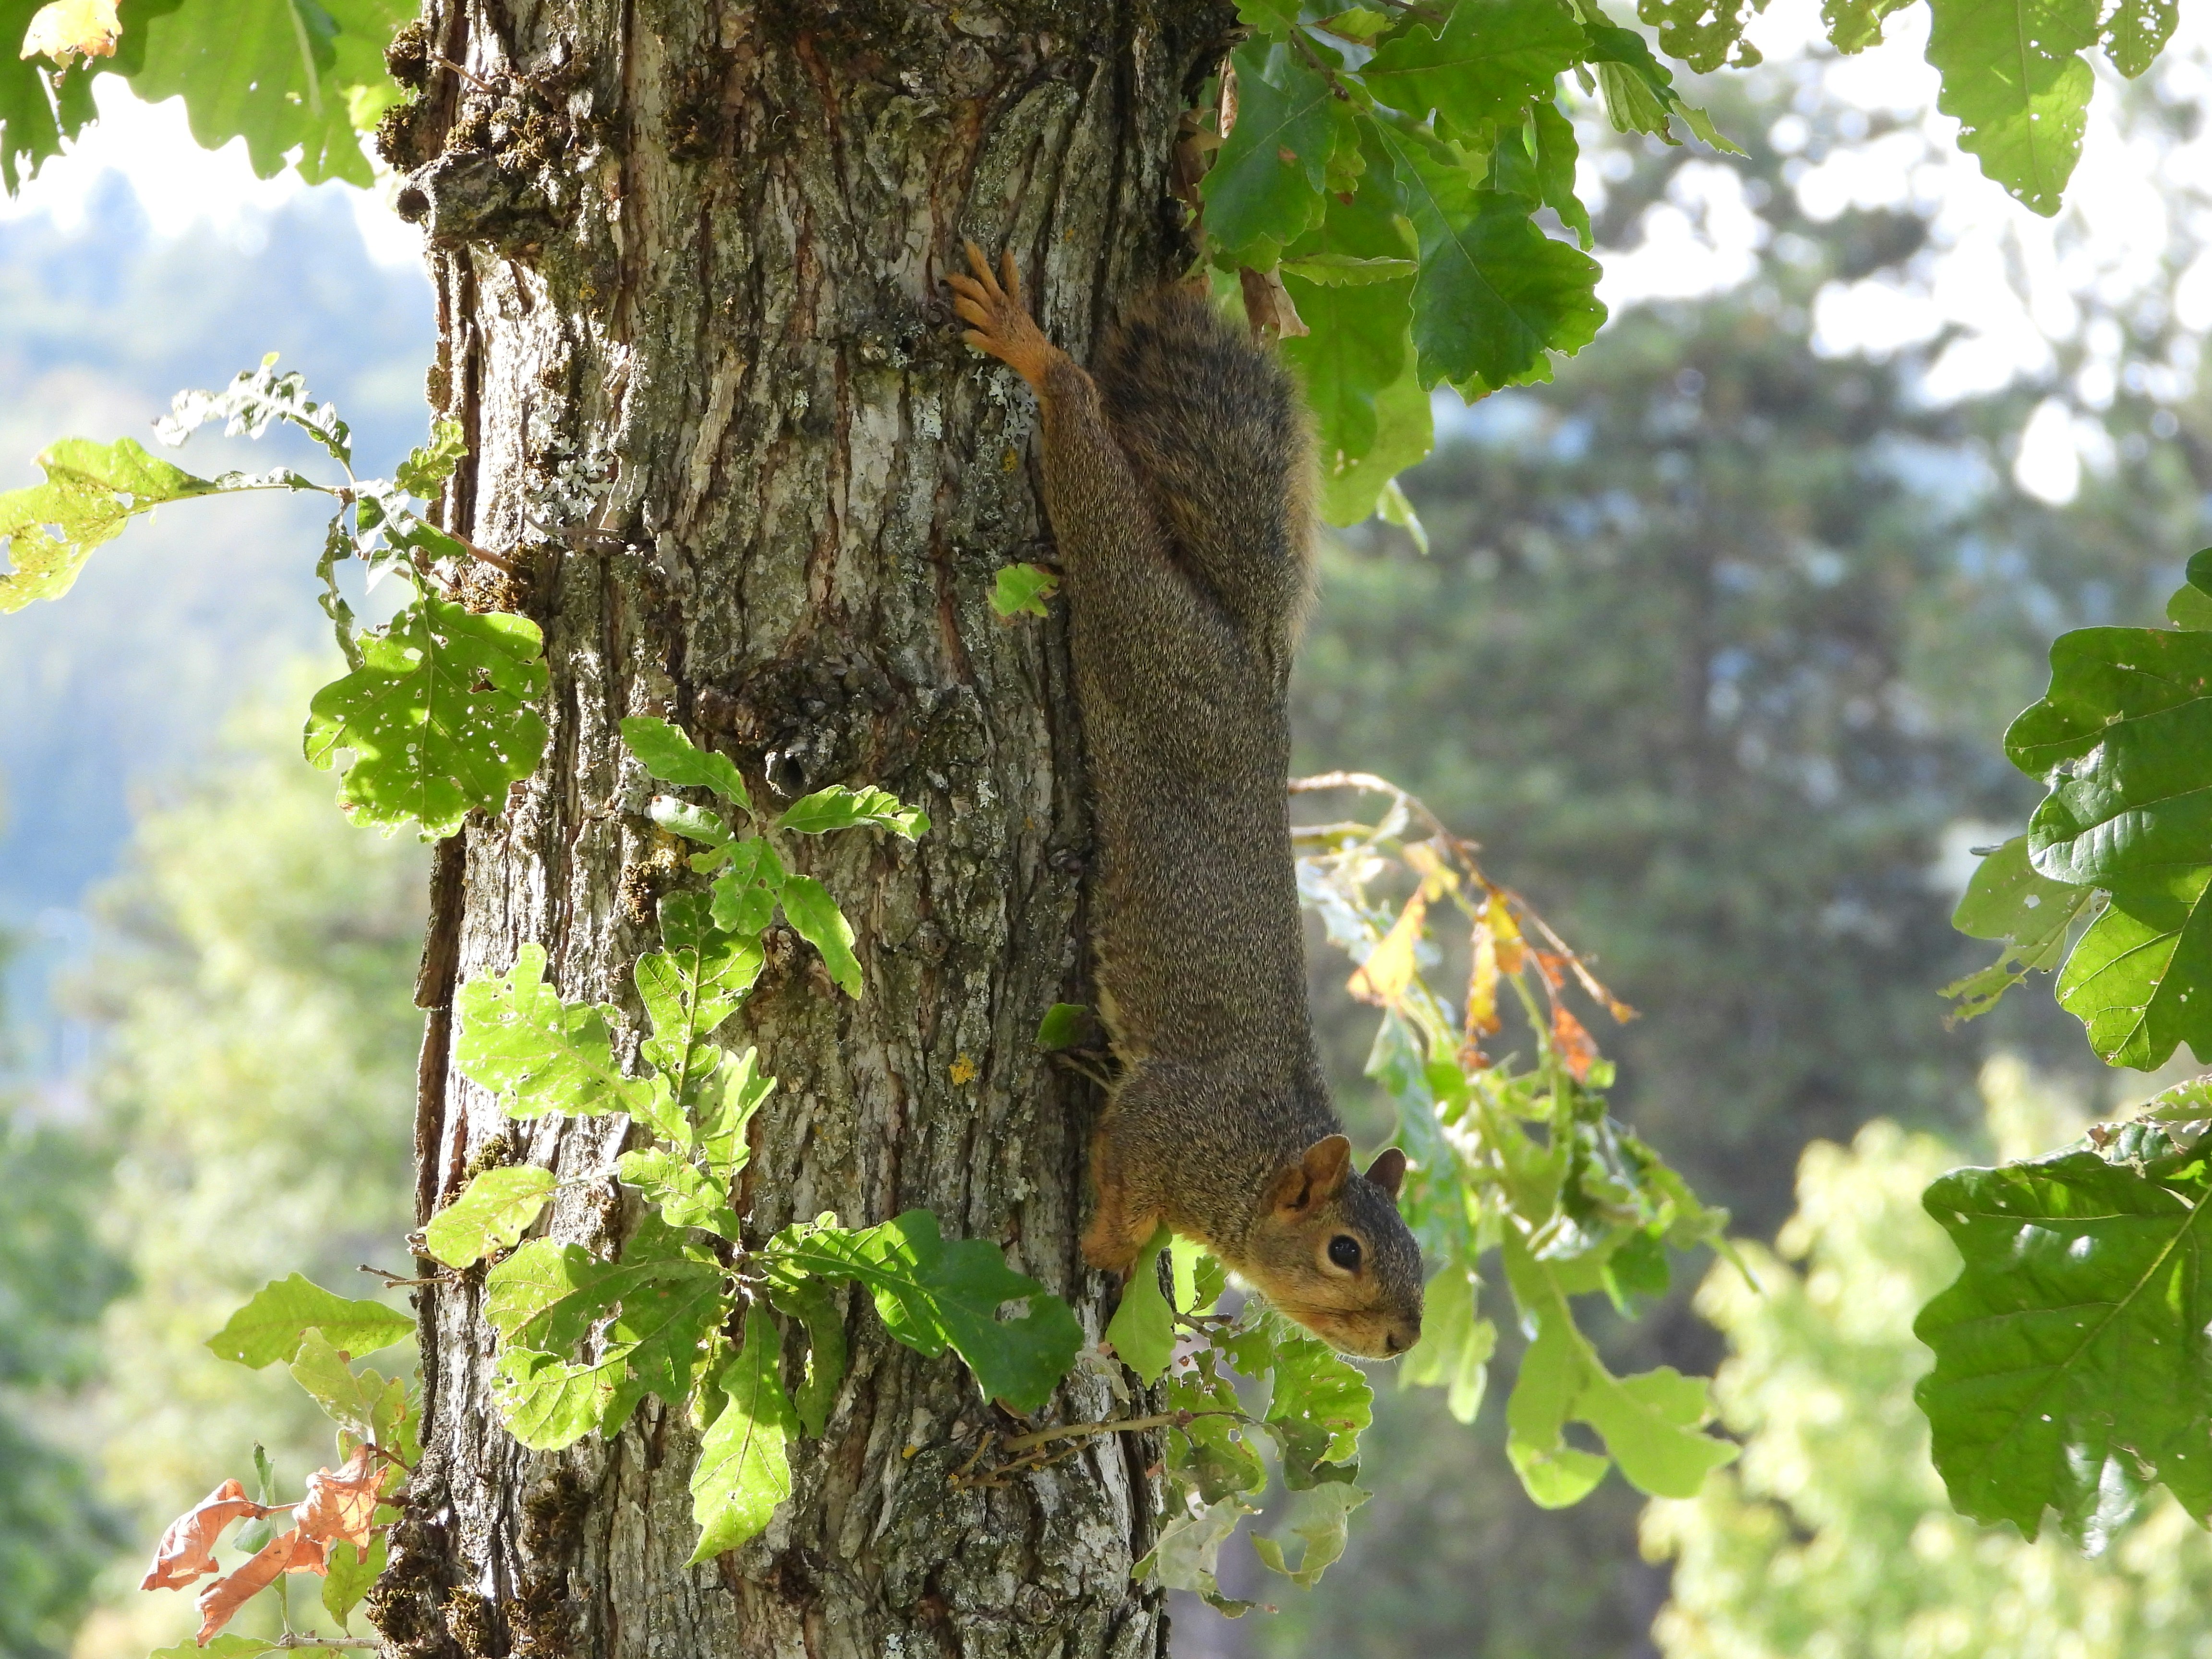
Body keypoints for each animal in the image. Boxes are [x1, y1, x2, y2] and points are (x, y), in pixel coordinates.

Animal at [946, 242, 1425, 1360]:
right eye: (1345, 1250)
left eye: (1417, 1257)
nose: (1403, 1340)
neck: (1251, 1161)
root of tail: (1249, 662)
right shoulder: (1162, 1120)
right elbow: (1123, 1180)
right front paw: (1106, 1250)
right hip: (1141, 629)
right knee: (1096, 489)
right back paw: (1035, 353)